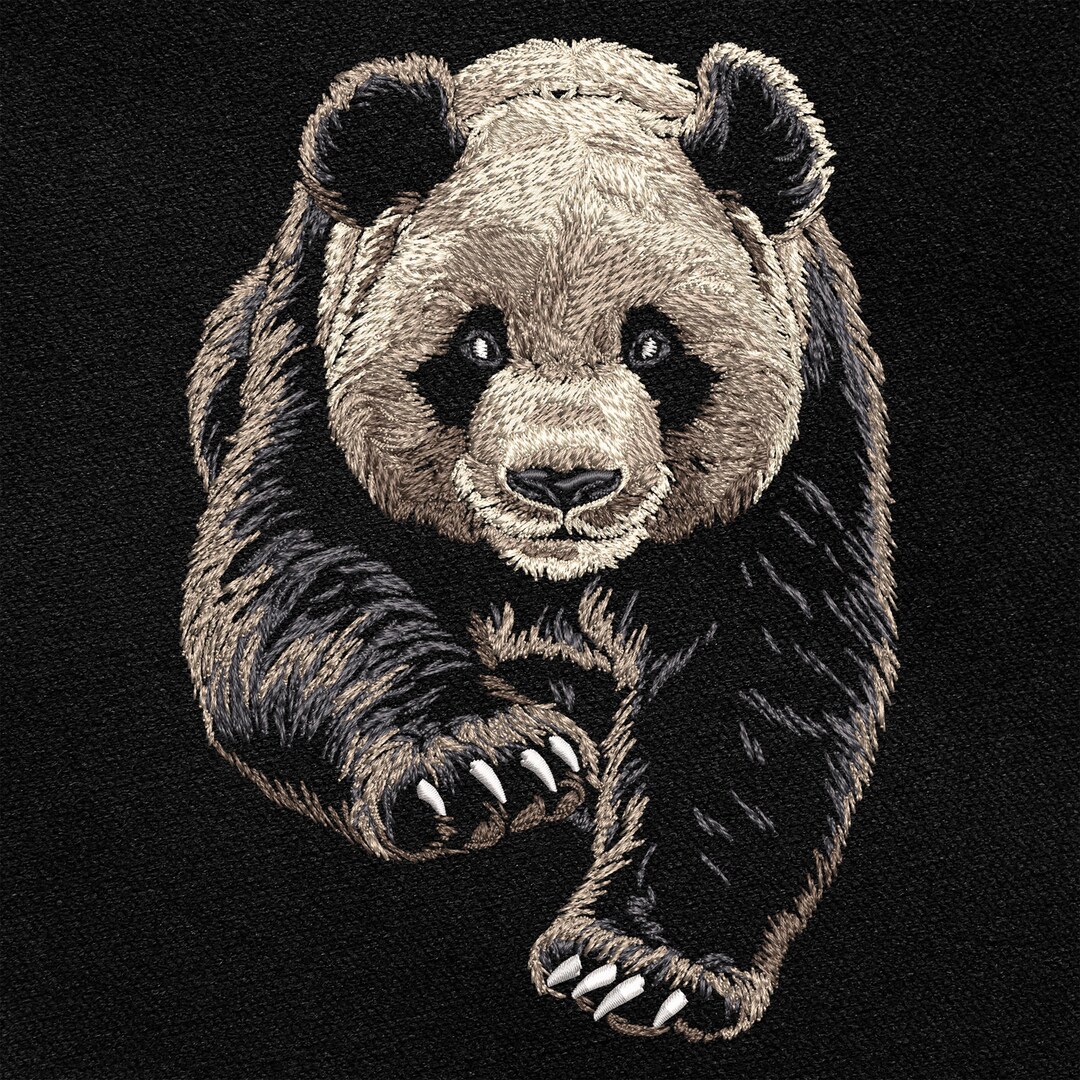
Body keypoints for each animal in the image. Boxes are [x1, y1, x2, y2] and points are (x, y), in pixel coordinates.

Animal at [182, 39, 897, 1041]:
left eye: (652, 346)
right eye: (478, 345)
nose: (563, 481)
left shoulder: (810, 412)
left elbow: (766, 667)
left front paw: (641, 968)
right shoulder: (307, 354)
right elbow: (297, 574)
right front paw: (491, 767)